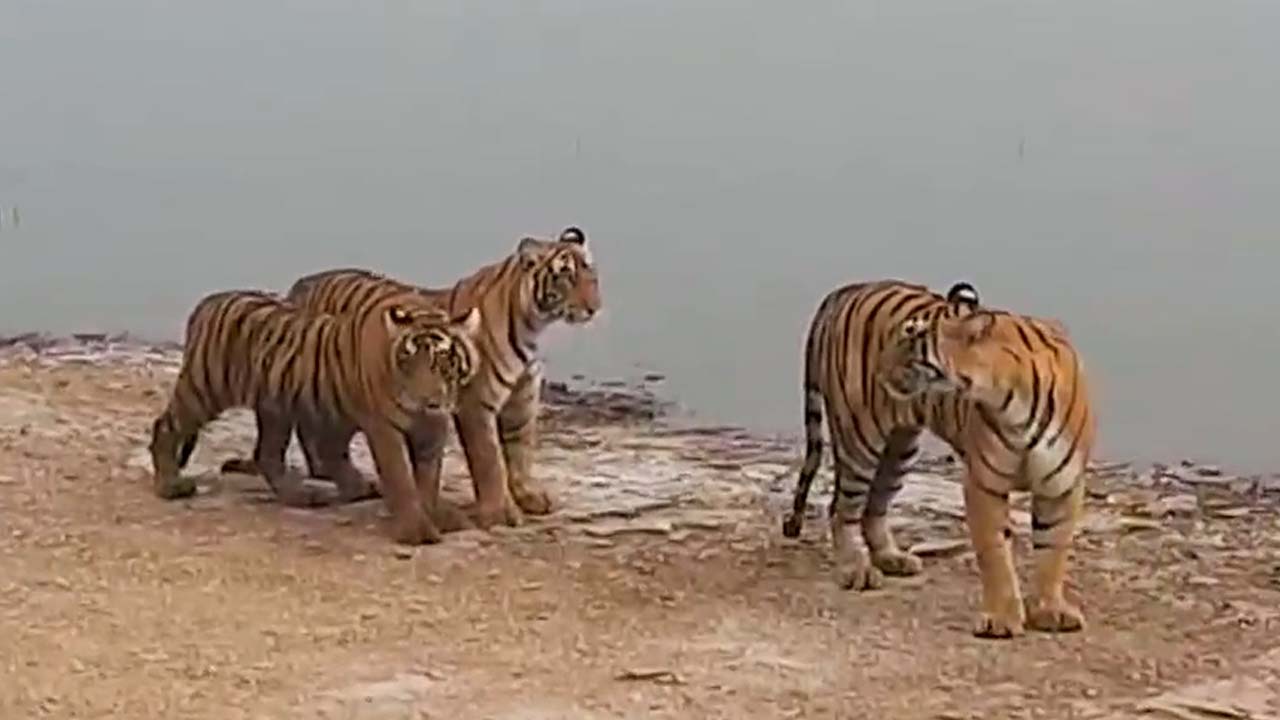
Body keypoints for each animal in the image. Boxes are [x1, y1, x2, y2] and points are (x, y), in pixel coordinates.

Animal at [148, 288, 482, 545]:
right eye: (409, 362)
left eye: (443, 361)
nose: (427, 401)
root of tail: (207, 302)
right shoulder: (384, 429)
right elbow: (401, 477)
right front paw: (416, 530)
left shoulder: (433, 429)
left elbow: (427, 478)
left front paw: (433, 515)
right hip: (204, 390)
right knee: (165, 427)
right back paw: (170, 486)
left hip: (275, 409)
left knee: (269, 455)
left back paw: (305, 496)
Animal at [220, 226, 601, 531]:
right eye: (565, 276)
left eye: (592, 276)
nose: (594, 307)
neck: (532, 325)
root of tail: (302, 284)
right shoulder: (476, 405)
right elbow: (490, 461)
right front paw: (500, 513)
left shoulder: (521, 401)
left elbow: (520, 452)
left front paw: (527, 495)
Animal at [782, 279, 982, 595]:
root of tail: (845, 291)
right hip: (859, 440)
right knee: (842, 509)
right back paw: (855, 570)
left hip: (900, 447)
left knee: (874, 507)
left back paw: (891, 559)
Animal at [876, 306, 1096, 639]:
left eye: (911, 343)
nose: (880, 371)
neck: (1014, 399)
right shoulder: (983, 483)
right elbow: (993, 552)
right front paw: (1001, 619)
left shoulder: (1061, 485)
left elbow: (1053, 550)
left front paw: (1050, 610)